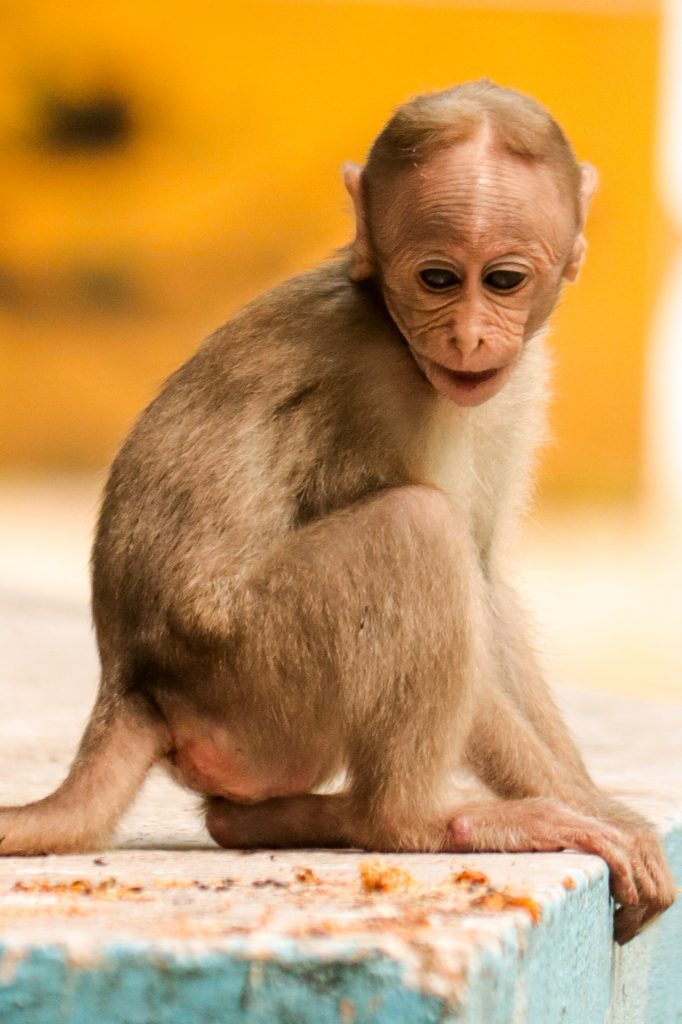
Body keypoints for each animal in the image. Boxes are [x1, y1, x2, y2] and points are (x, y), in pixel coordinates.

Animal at [0, 80, 675, 945]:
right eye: (437, 278)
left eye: (503, 281)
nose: (468, 336)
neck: (389, 317)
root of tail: (133, 683)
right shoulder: (390, 390)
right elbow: (455, 567)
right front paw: (601, 816)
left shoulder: (513, 381)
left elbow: (488, 581)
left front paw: (593, 796)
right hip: (250, 668)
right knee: (416, 530)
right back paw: (411, 821)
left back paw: (274, 822)